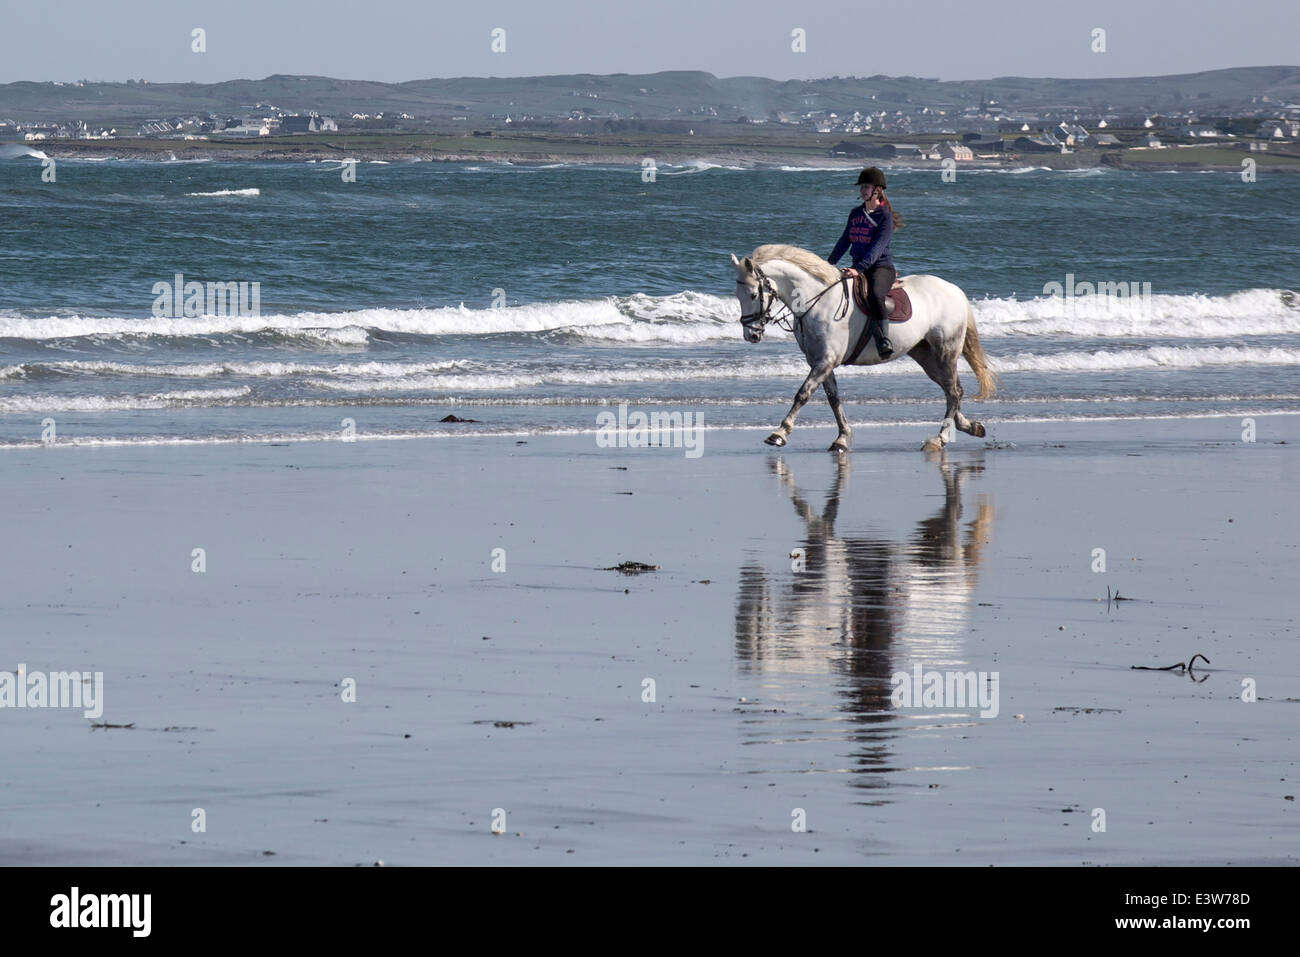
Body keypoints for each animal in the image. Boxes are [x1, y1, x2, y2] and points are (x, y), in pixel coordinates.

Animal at [730, 244, 998, 452]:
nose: (751, 334)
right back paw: (970, 427)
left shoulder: (825, 361)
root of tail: (954, 289)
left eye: (753, 294)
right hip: (925, 355)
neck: (817, 301)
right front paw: (842, 438)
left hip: (946, 351)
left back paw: (939, 439)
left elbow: (803, 394)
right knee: (952, 390)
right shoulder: (820, 361)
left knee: (953, 391)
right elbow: (833, 398)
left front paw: (779, 433)